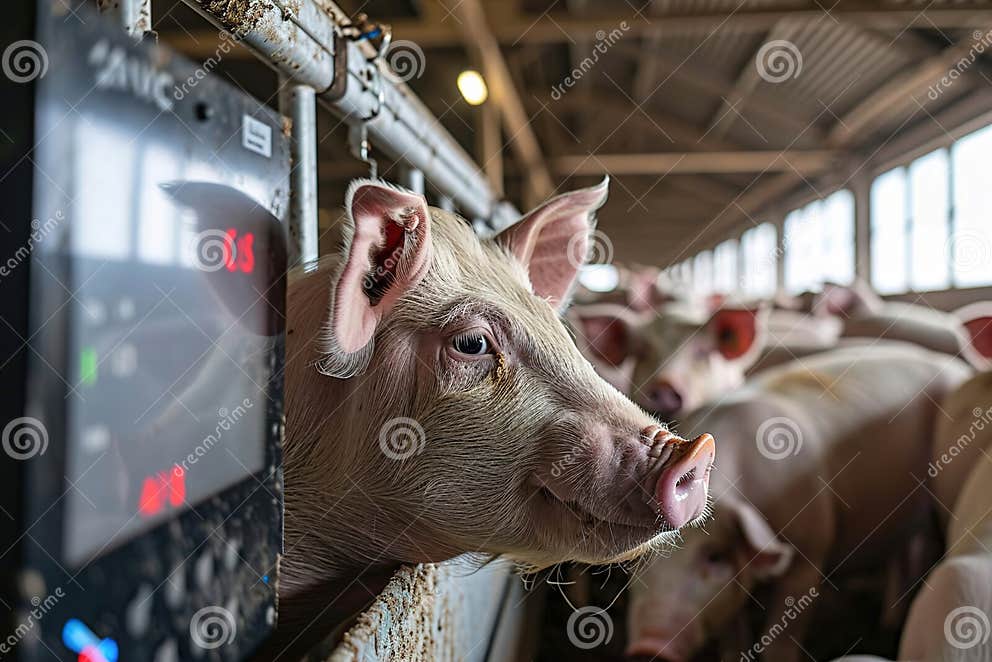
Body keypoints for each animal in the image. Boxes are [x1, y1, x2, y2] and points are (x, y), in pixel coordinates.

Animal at [626, 342, 971, 662]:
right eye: (640, 562)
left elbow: (780, 639)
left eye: (713, 556)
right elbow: (733, 639)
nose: (648, 647)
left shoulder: (810, 553)